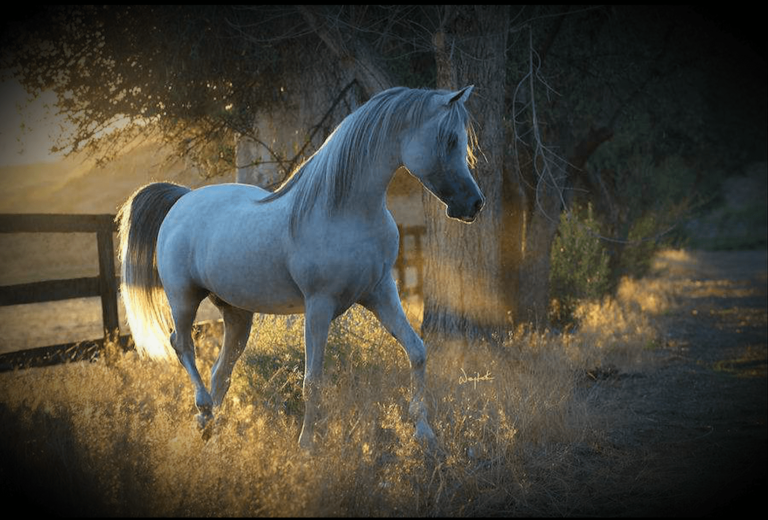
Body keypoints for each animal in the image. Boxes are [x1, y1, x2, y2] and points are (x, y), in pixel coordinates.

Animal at [116, 85, 485, 449]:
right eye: (450, 139)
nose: (474, 204)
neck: (342, 211)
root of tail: (182, 198)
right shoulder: (319, 305)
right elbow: (313, 380)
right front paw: (307, 445)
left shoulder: (380, 292)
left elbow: (417, 351)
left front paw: (424, 432)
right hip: (184, 297)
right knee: (181, 344)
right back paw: (204, 410)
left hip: (237, 314)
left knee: (221, 371)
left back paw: (211, 434)